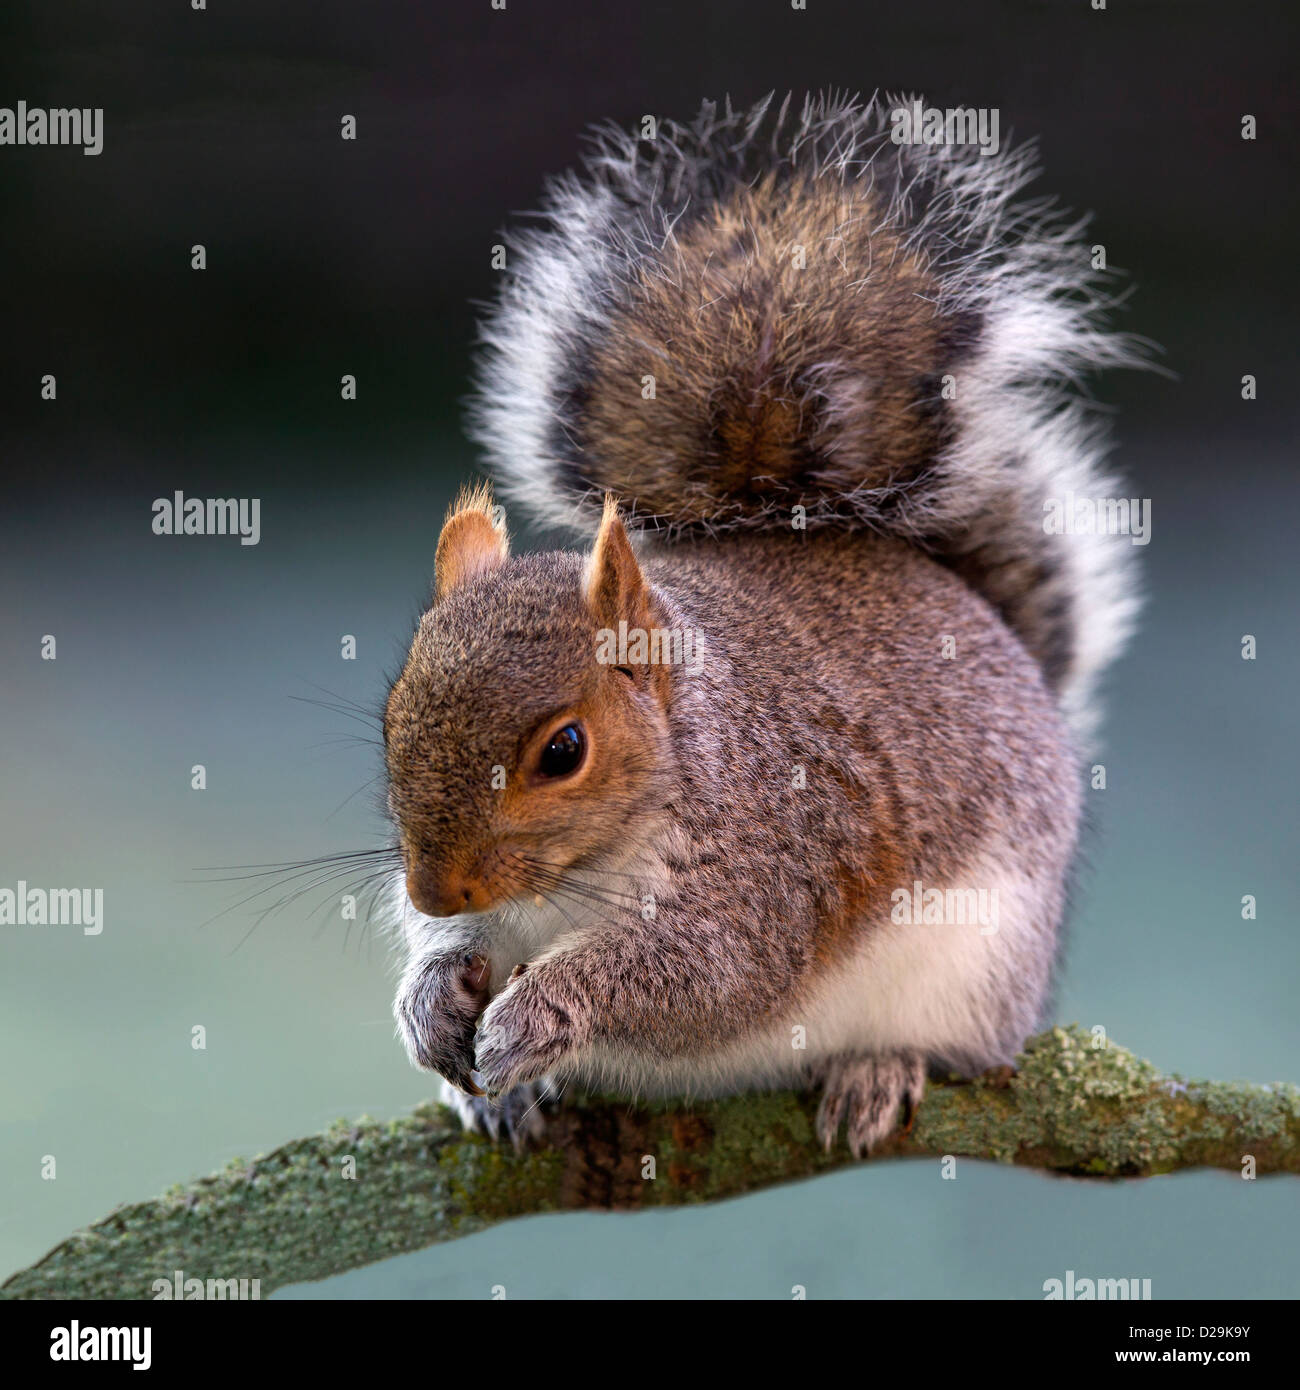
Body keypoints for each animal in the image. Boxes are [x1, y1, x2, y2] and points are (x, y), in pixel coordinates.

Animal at [384, 92, 1147, 1155]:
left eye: (564, 750)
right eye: (392, 718)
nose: (432, 889)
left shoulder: (779, 853)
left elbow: (707, 973)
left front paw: (540, 1017)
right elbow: (451, 958)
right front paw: (432, 1005)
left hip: (981, 970)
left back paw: (878, 1071)